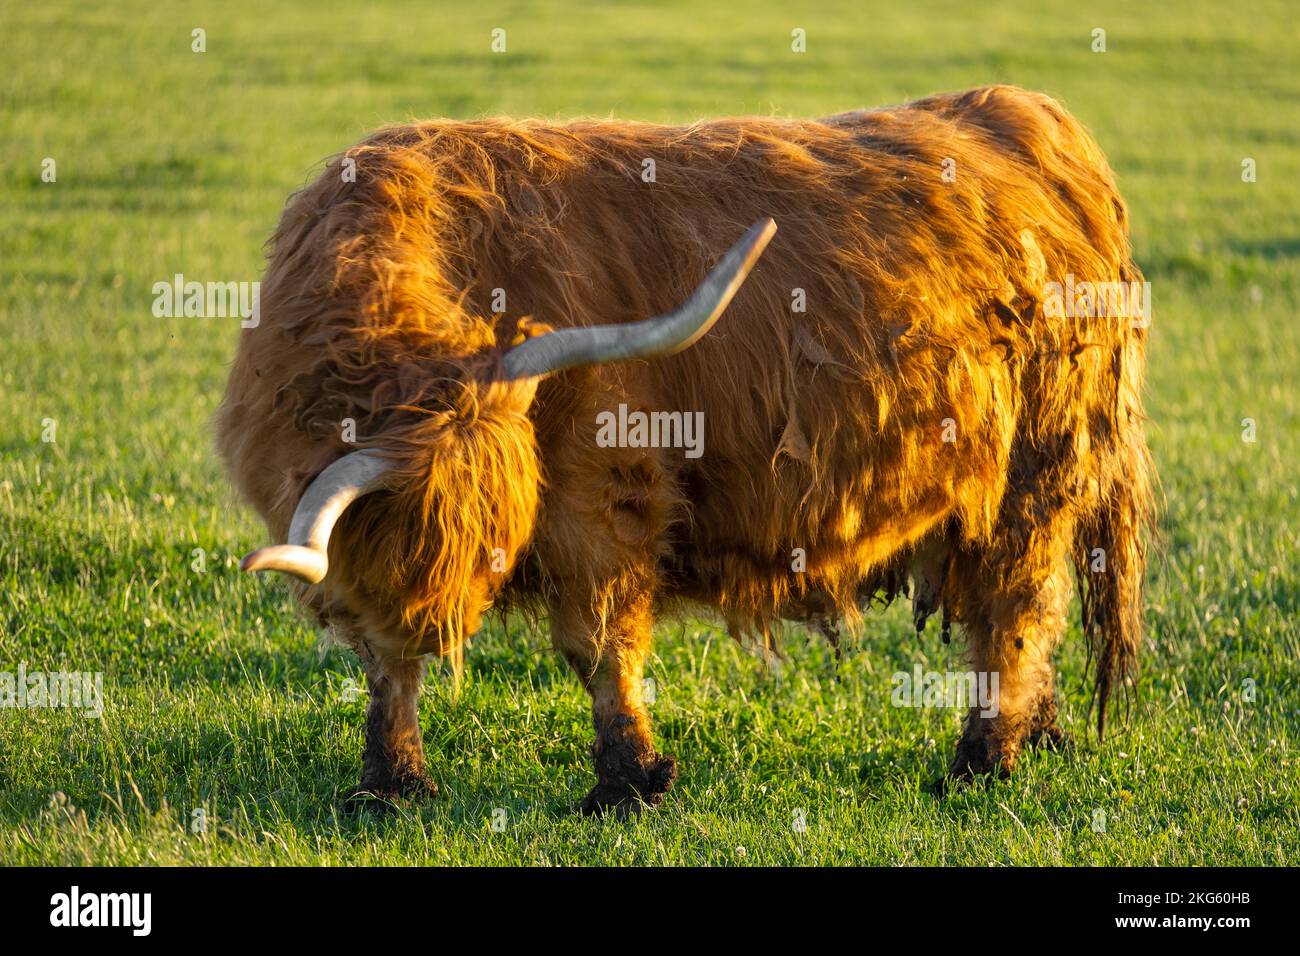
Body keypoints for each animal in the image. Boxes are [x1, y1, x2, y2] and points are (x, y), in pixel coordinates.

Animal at [217, 85, 1154, 815]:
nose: (451, 617)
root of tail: (1033, 119)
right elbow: (384, 661)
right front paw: (389, 785)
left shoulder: (605, 492)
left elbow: (596, 642)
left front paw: (627, 783)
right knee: (1031, 605)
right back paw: (1041, 736)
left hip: (1037, 468)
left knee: (1015, 608)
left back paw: (983, 761)